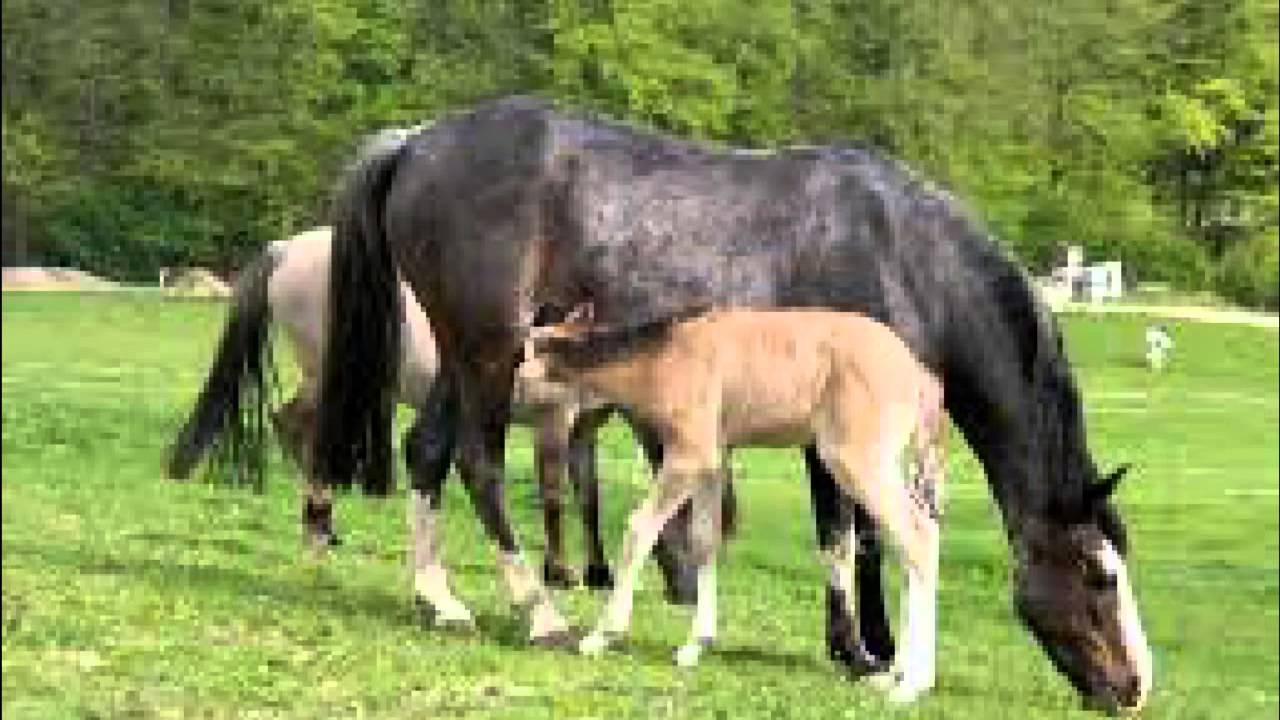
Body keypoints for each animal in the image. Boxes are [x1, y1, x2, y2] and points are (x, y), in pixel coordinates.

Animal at [163, 224, 735, 613]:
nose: (690, 594)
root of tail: (286, 248)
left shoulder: (583, 429)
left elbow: (588, 497)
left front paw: (597, 572)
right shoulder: (551, 420)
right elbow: (555, 496)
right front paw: (560, 571)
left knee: (292, 424)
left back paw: (324, 523)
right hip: (335, 373)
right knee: (298, 427)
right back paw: (320, 521)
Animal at [313, 97, 1152, 711]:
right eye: (1097, 575)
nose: (1134, 688)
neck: (904, 256)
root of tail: (416, 143)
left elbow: (862, 538)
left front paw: (877, 650)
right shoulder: (831, 439)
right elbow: (848, 538)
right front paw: (860, 653)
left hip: (462, 356)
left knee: (426, 452)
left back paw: (440, 601)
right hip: (489, 353)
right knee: (478, 464)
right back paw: (540, 613)